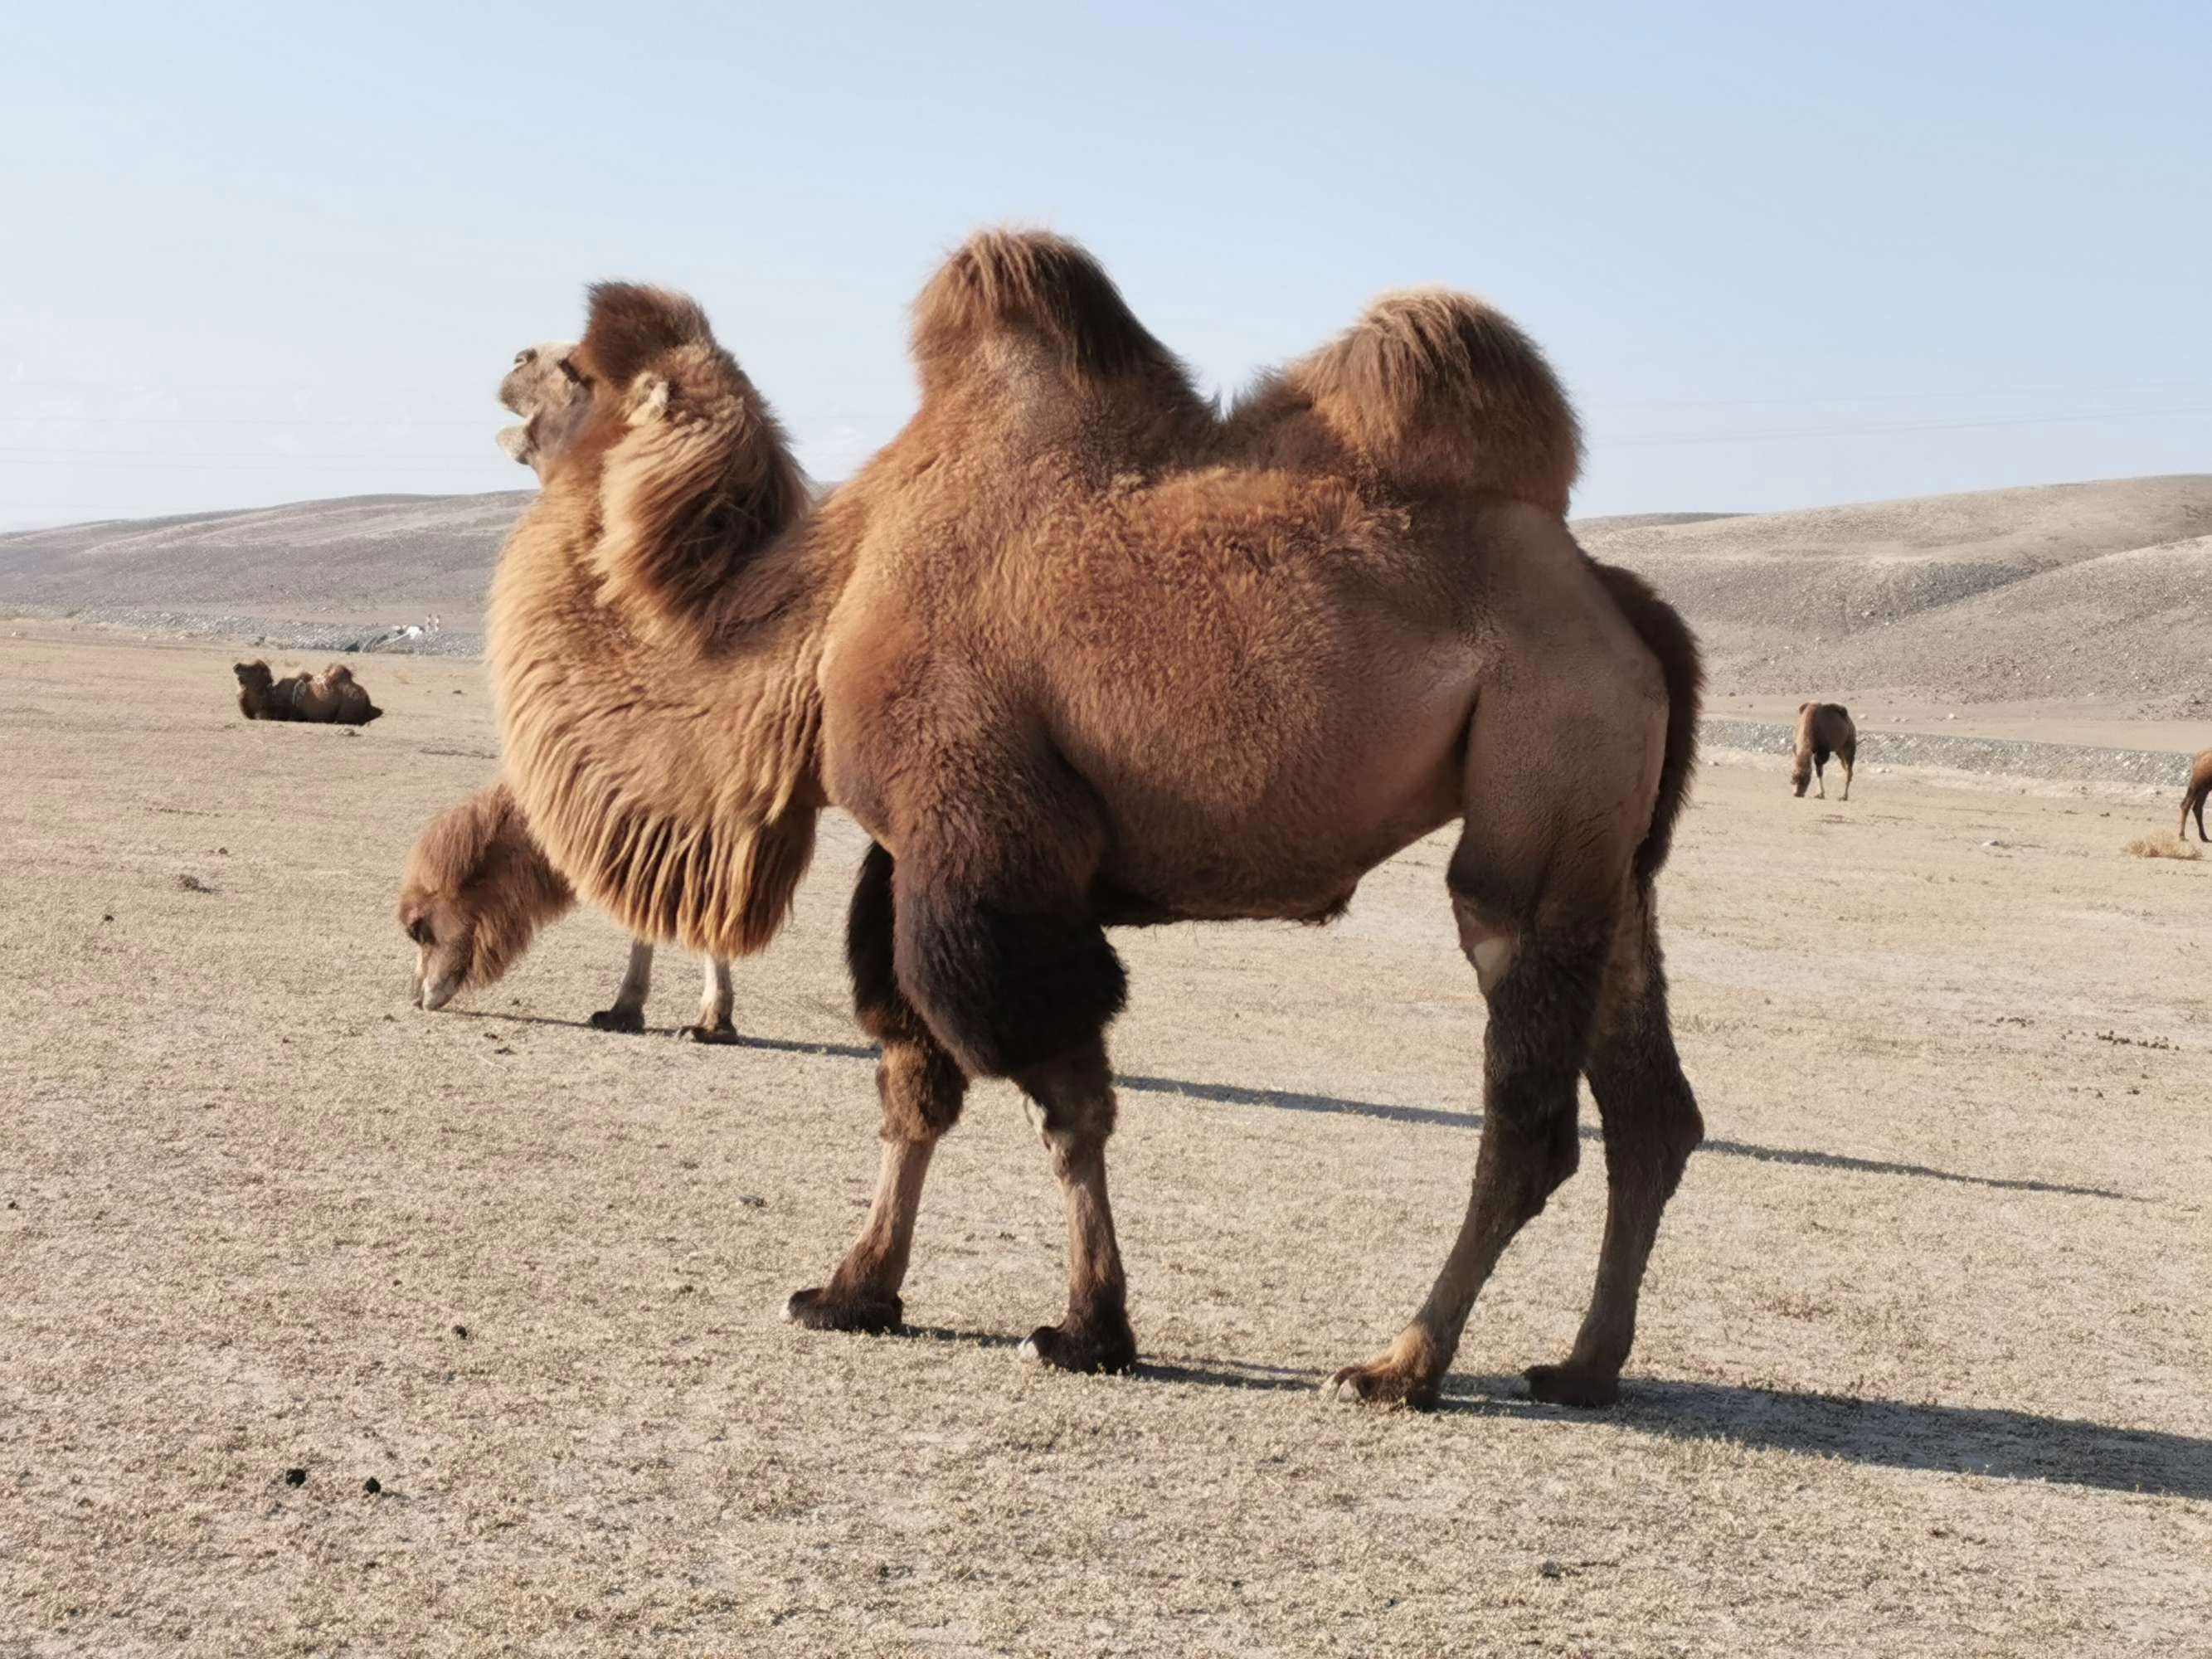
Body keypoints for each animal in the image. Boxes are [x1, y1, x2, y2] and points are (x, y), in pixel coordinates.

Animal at [489, 232, 1703, 1412]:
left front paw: (1086, 1328)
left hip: (1540, 772)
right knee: (1652, 1108)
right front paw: (851, 1291)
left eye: (575, 368)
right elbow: (913, 1080)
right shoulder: (909, 855)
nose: (508, 361)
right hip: (1613, 849)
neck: (821, 611)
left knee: (1529, 1116)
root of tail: (1620, 608)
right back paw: (1583, 1365)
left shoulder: (984, 848)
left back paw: (1399, 1364)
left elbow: (1061, 1098)